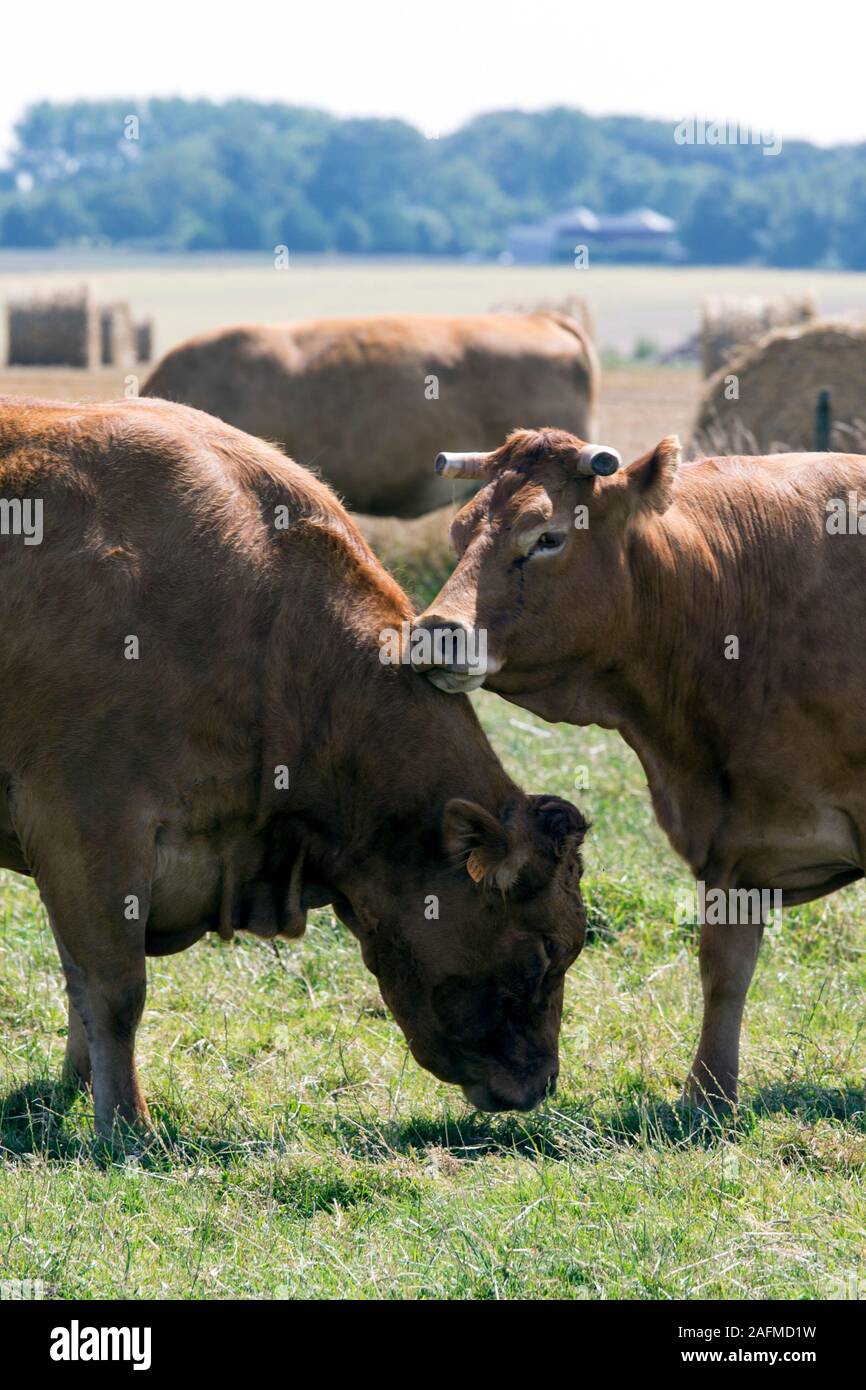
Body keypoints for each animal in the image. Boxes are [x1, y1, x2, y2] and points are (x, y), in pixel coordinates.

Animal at [0, 399, 589, 1140]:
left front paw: (79, 1087)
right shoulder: (89, 828)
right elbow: (113, 991)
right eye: (545, 950)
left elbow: (81, 986)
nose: (541, 1084)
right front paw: (127, 1125)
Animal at [411, 426, 866, 1109]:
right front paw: (708, 1094)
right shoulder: (734, 842)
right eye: (459, 534)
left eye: (547, 537)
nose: (435, 631)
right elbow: (724, 971)